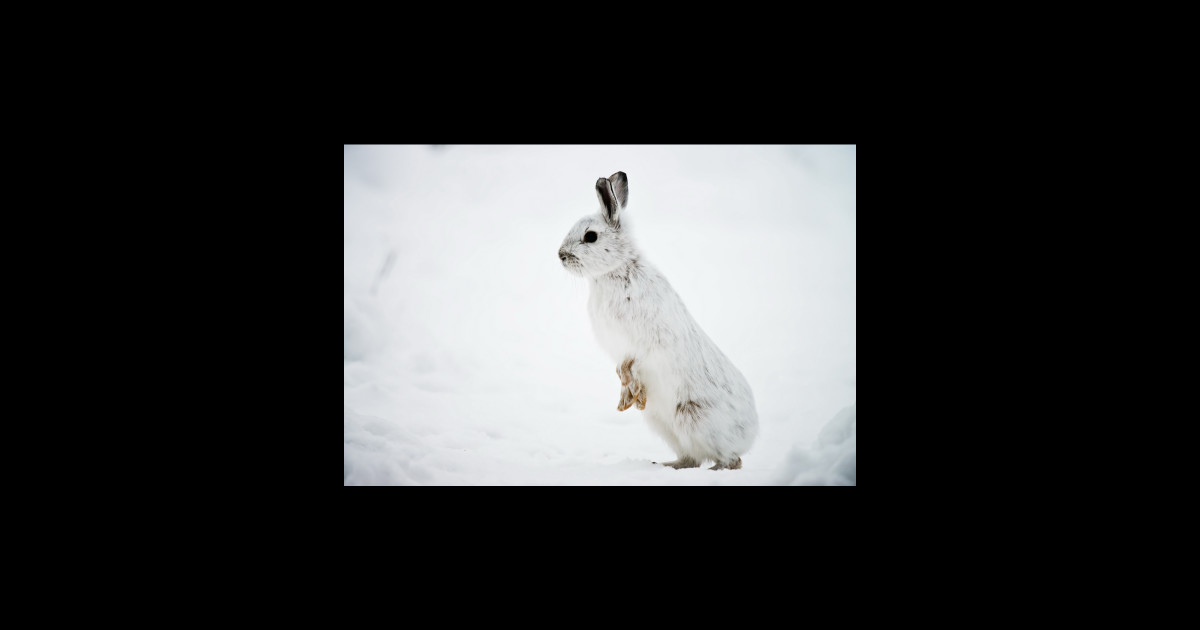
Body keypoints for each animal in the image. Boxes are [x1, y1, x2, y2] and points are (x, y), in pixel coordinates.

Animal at [558, 171, 758, 470]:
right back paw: (663, 464)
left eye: (590, 236)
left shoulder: (647, 340)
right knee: (691, 458)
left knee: (731, 460)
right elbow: (622, 367)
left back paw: (717, 467)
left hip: (695, 418)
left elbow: (635, 361)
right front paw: (626, 390)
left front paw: (629, 388)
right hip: (662, 423)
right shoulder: (619, 347)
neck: (616, 270)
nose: (561, 256)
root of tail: (750, 435)